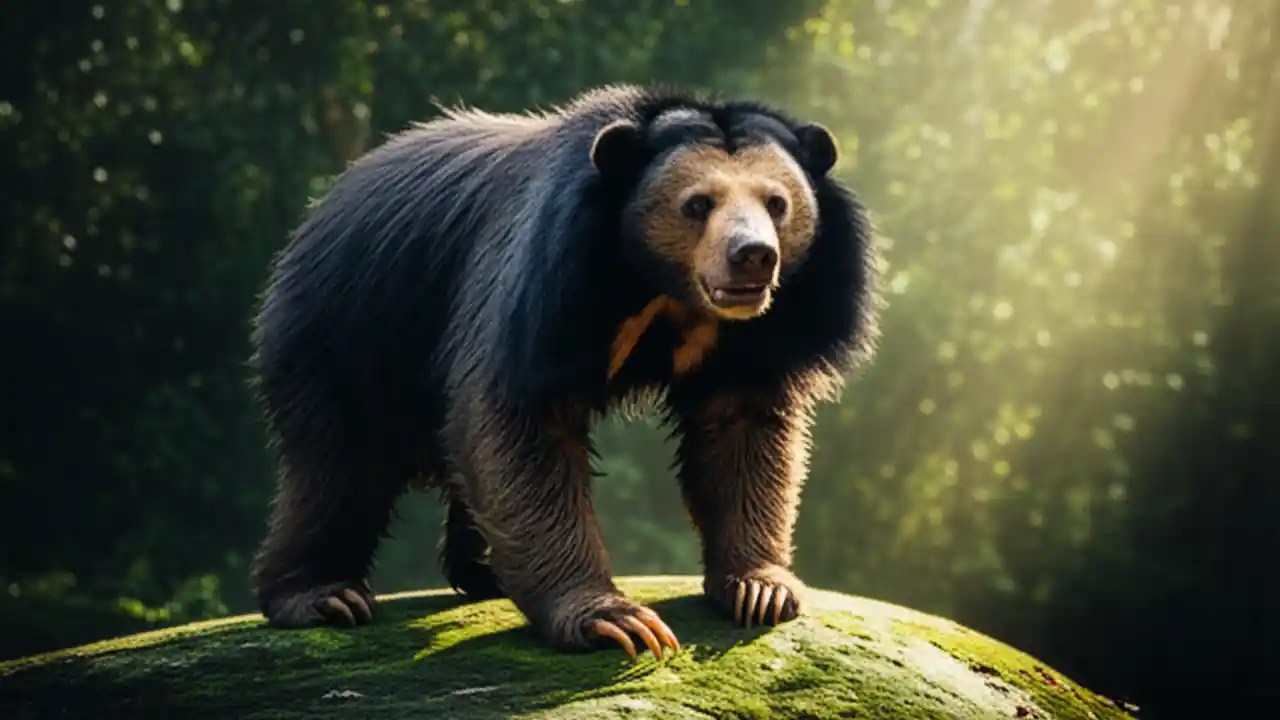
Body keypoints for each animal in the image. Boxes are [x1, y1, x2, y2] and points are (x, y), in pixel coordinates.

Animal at [248, 84, 879, 660]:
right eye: (698, 204)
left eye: (778, 204)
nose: (753, 258)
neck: (662, 289)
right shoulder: (542, 283)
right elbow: (518, 421)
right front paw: (619, 622)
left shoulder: (764, 332)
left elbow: (740, 427)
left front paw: (761, 592)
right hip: (344, 327)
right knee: (339, 462)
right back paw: (324, 597)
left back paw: (482, 572)